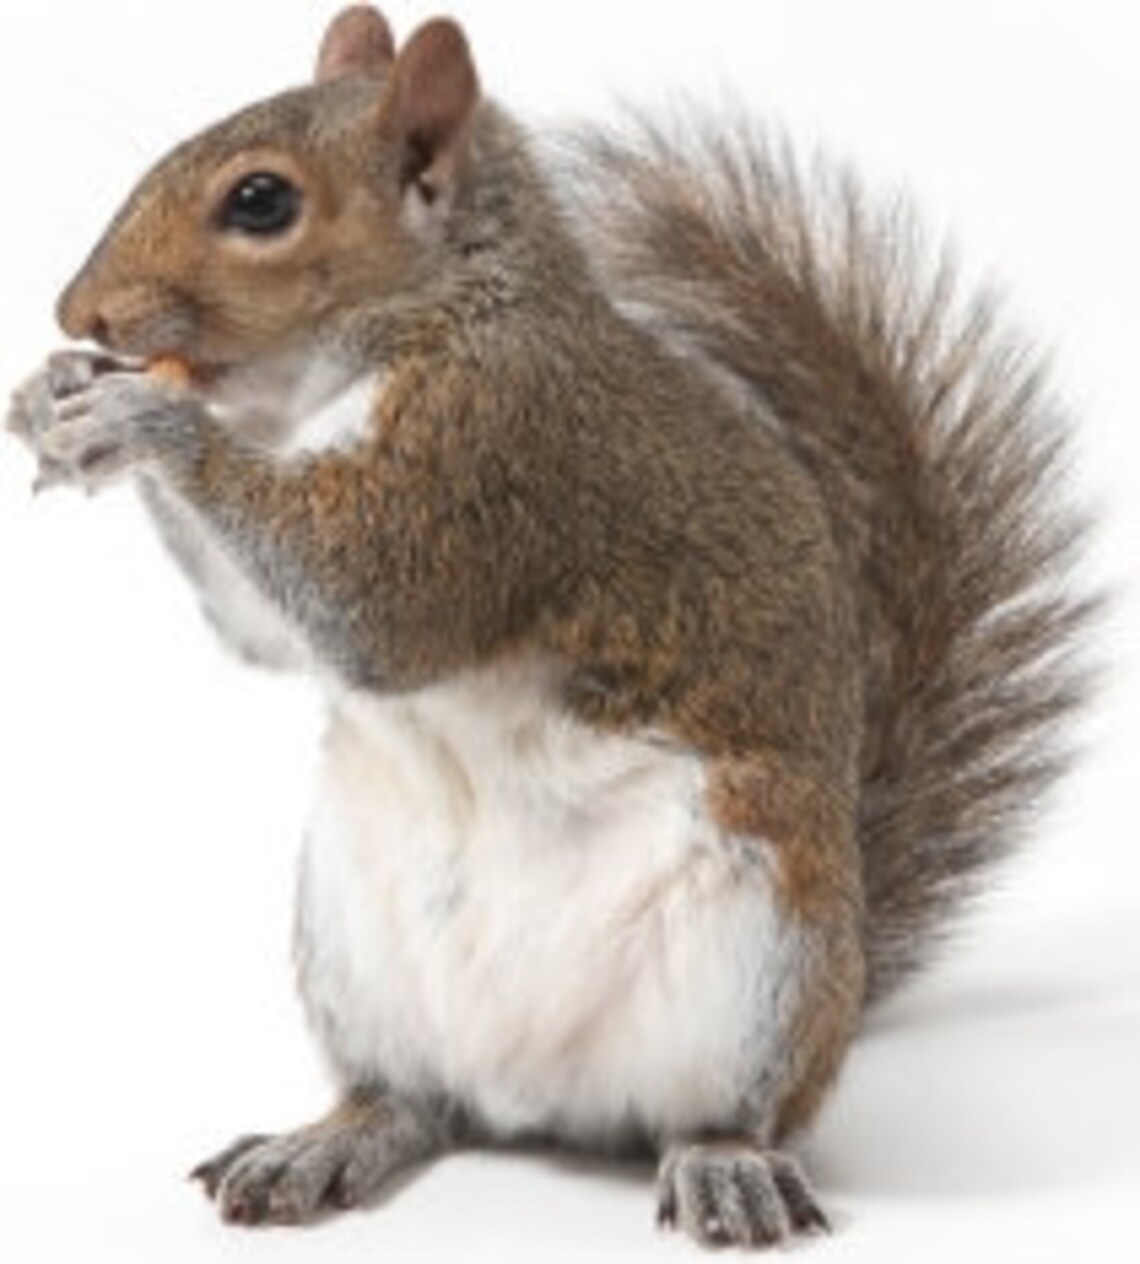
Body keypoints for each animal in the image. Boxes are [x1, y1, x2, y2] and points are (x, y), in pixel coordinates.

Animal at [5, 6, 1093, 1251]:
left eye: (262, 202)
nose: (77, 316)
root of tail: (541, 1099)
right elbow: (269, 633)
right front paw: (52, 396)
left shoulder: (502, 452)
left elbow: (372, 603)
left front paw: (147, 417)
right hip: (354, 948)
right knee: (417, 1098)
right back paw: (327, 1140)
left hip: (767, 944)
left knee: (725, 1109)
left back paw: (726, 1164)